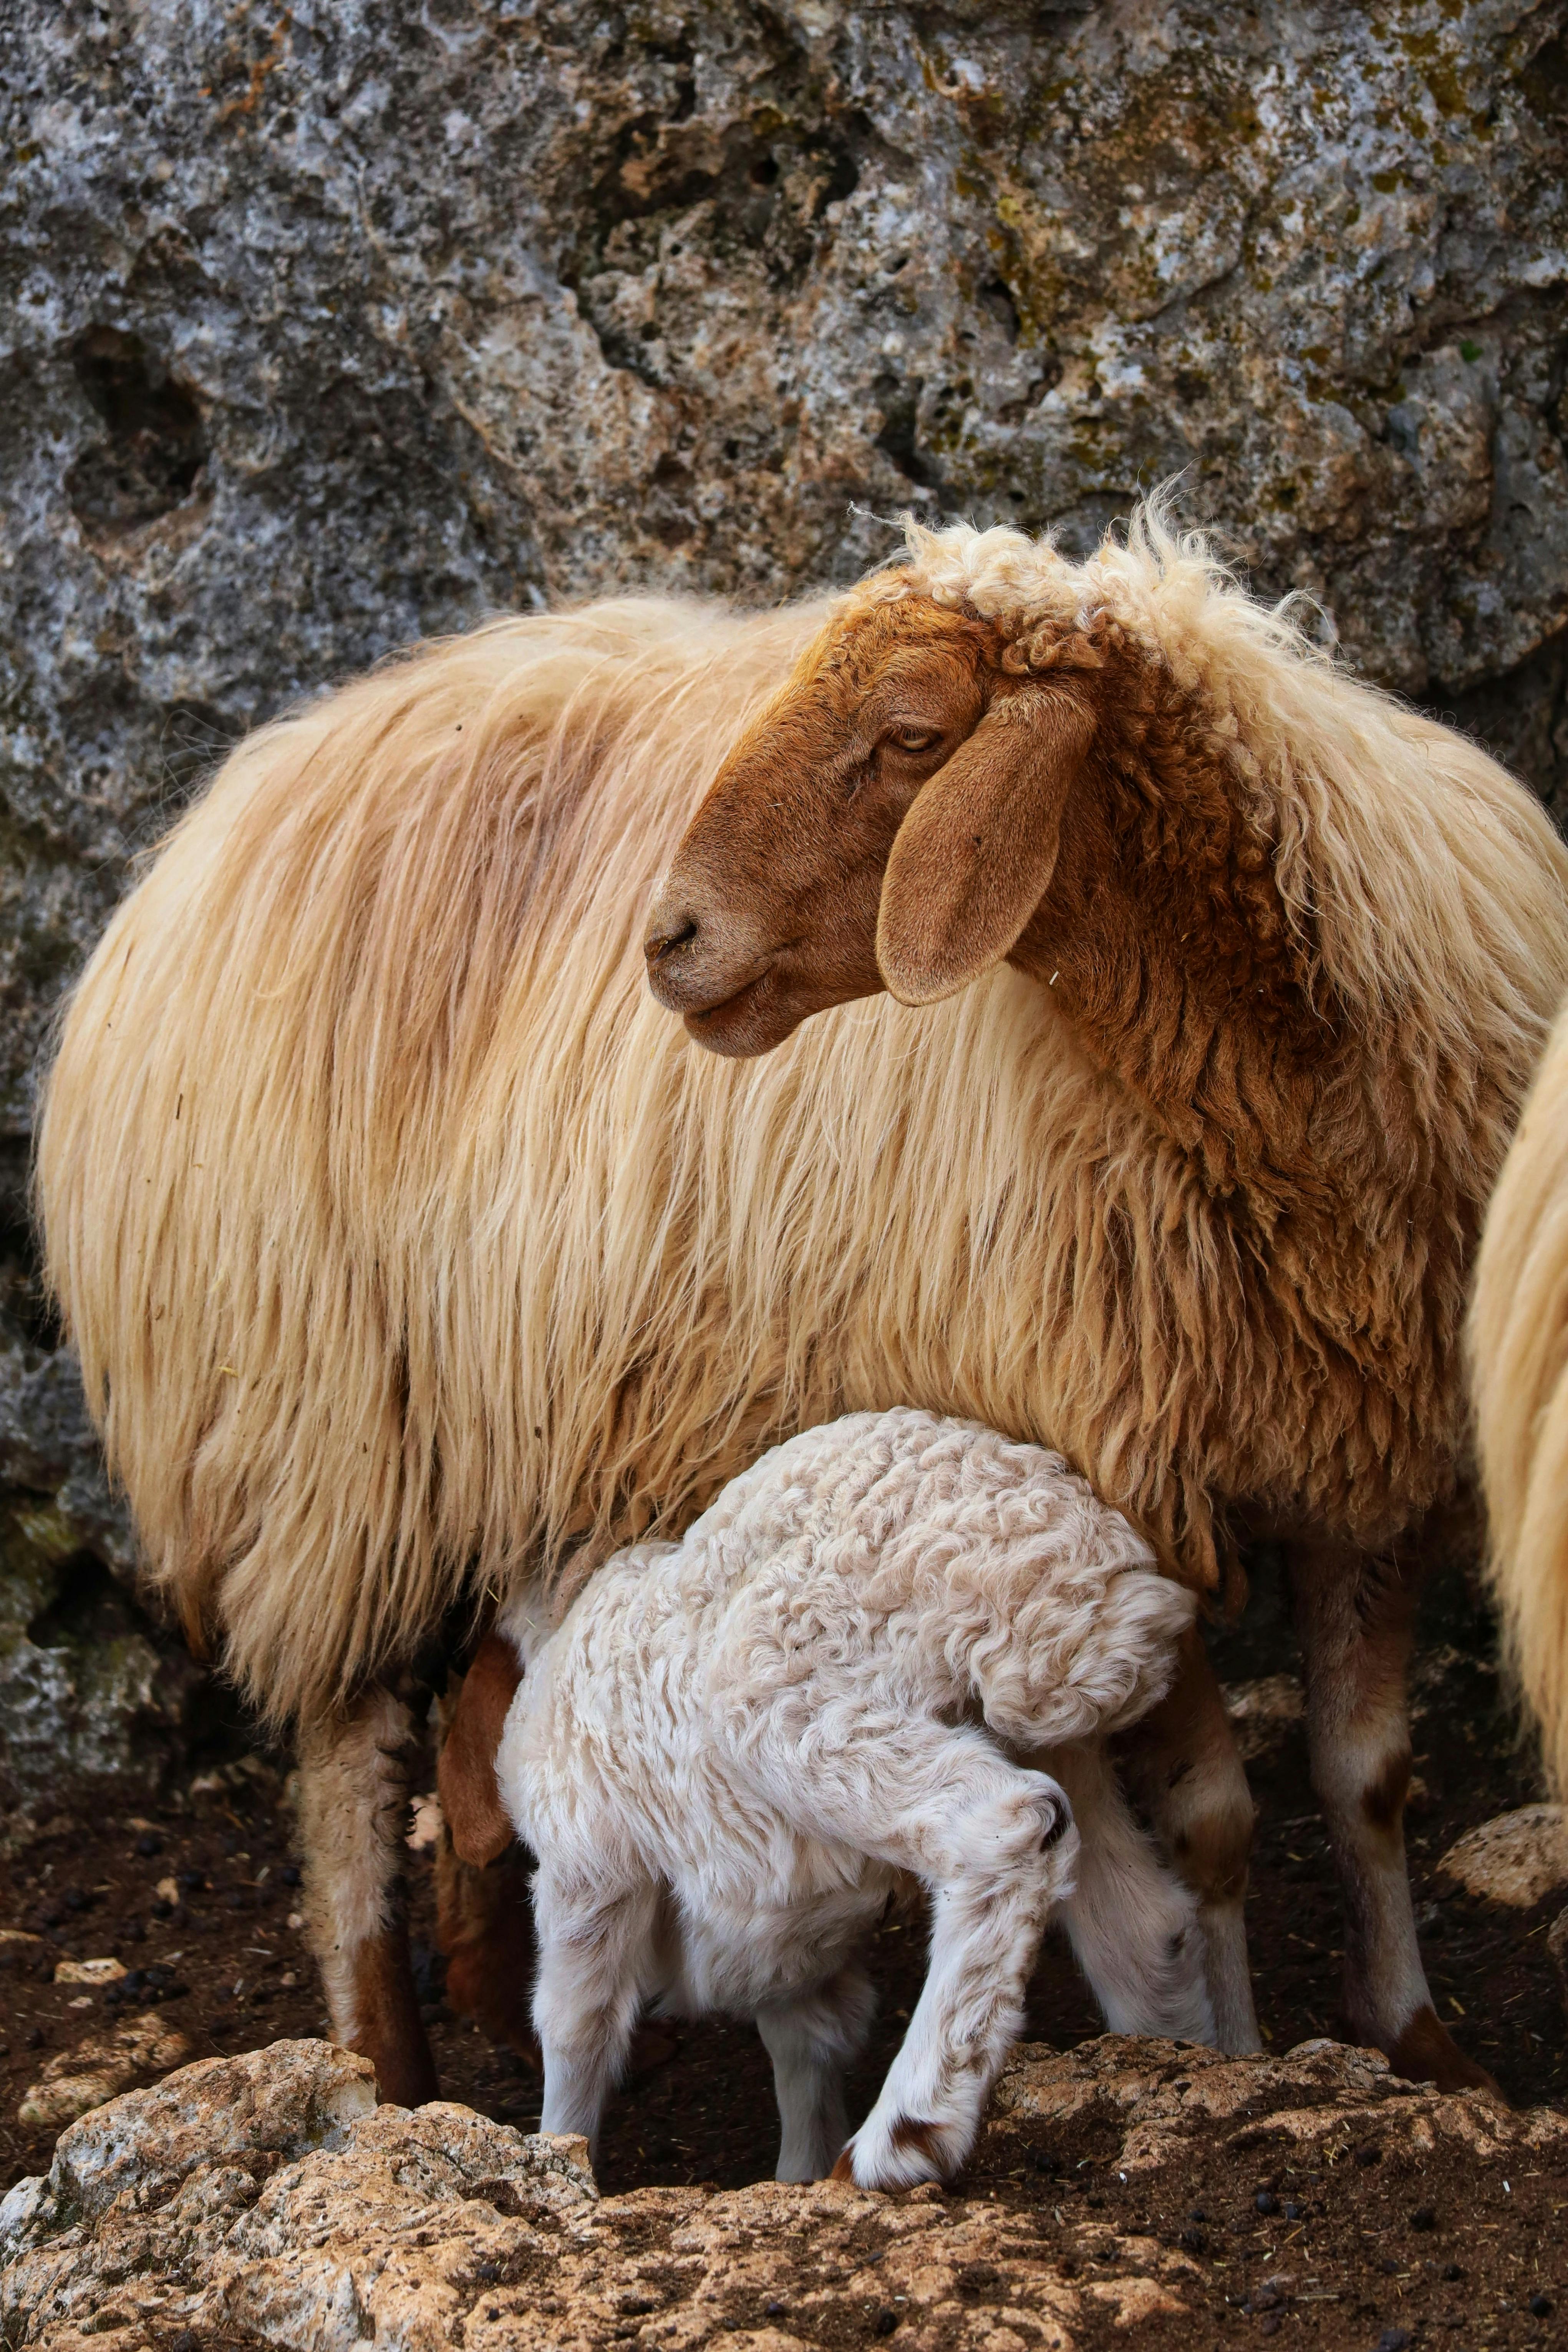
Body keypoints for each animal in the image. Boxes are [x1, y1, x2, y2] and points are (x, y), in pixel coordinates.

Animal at [437, 1409, 1212, 2188]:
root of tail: (1072, 1563)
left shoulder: (587, 1865)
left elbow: (577, 2025)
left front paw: (559, 2153)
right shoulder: (786, 1941)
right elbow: (808, 2042)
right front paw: (798, 2172)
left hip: (799, 1693)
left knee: (1006, 1824)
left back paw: (905, 2133)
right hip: (1051, 1742)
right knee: (1140, 1927)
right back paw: (1171, 2051)